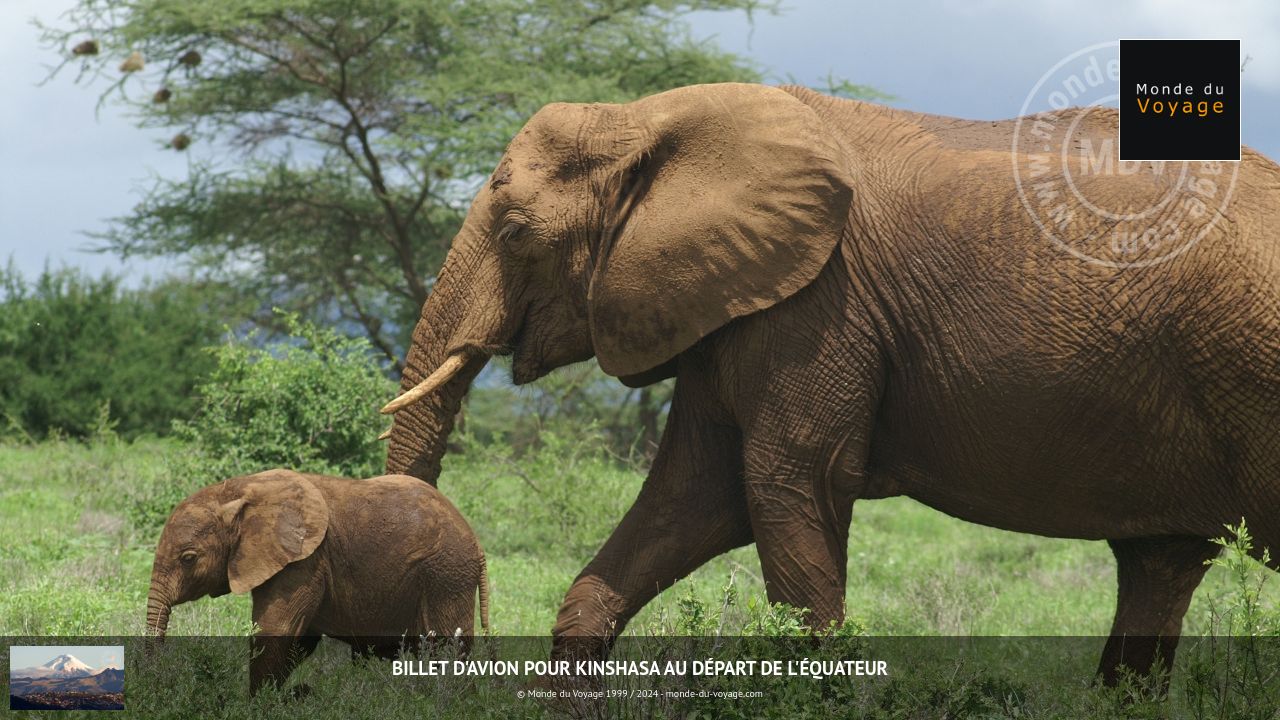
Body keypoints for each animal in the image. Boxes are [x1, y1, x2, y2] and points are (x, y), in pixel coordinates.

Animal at [145, 468, 488, 691]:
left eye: (188, 558)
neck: (238, 490)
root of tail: (477, 544)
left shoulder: (304, 561)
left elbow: (276, 630)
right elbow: (299, 642)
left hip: (446, 576)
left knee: (446, 648)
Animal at [378, 81, 1280, 681]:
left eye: (515, 232)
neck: (646, 118)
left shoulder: (817, 306)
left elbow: (788, 486)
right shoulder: (736, 303)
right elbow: (697, 498)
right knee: (1158, 569)